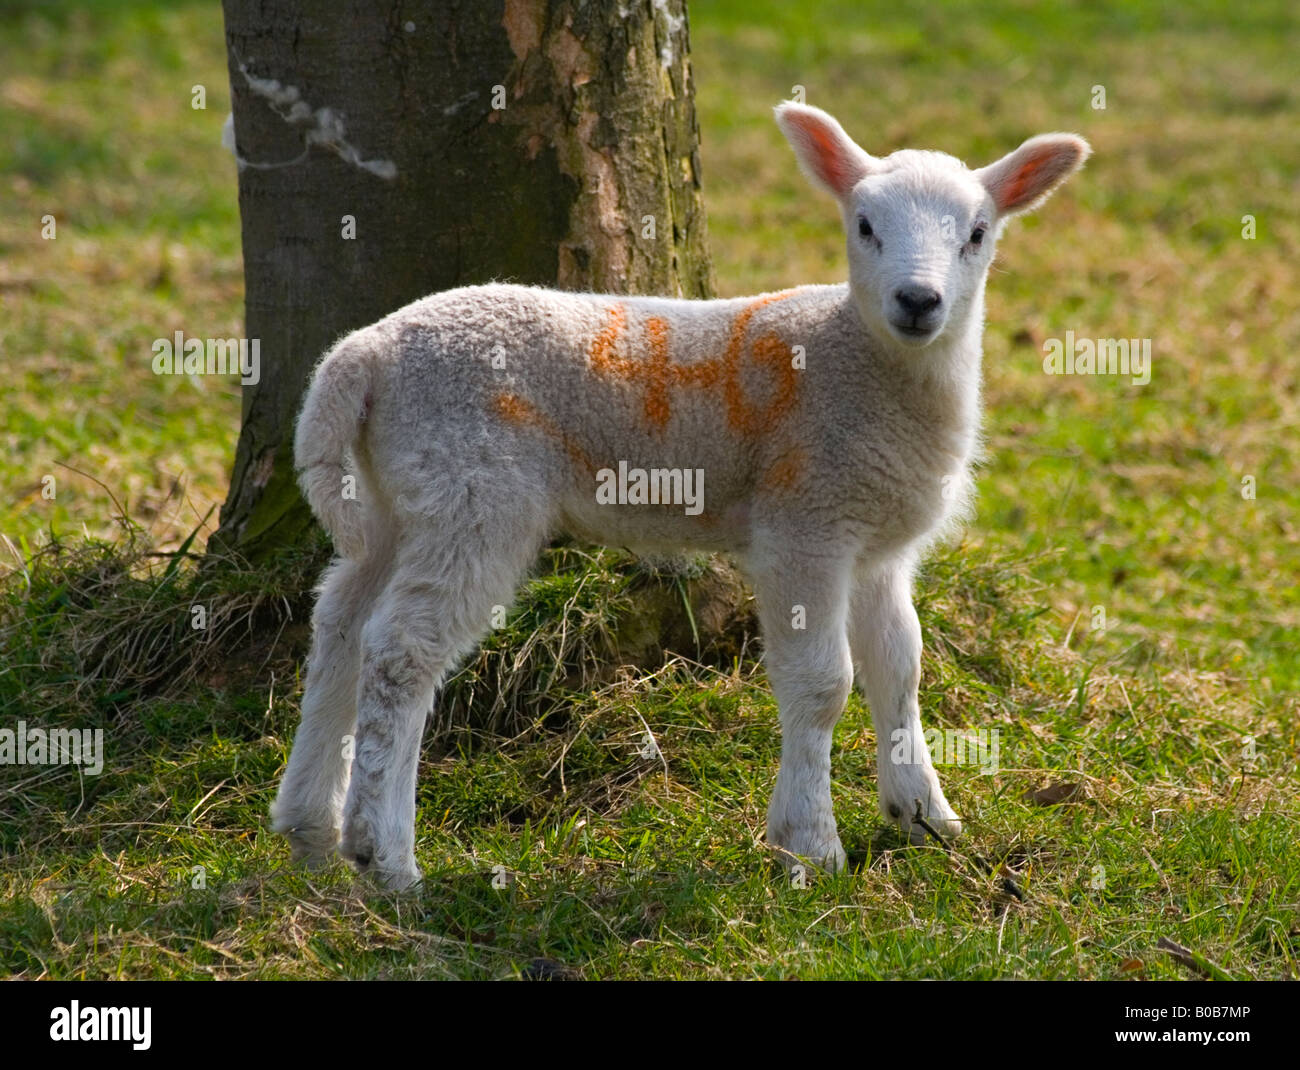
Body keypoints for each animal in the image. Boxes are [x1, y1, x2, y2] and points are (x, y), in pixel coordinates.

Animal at [272, 102, 1090, 889]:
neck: (861, 360)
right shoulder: (805, 524)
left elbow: (900, 667)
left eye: (978, 234)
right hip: (471, 488)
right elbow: (825, 681)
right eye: (864, 226)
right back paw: (384, 856)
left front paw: (923, 814)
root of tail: (366, 351)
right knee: (401, 649)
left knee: (341, 619)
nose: (918, 300)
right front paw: (809, 846)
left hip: (398, 495)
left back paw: (308, 828)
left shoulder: (877, 542)